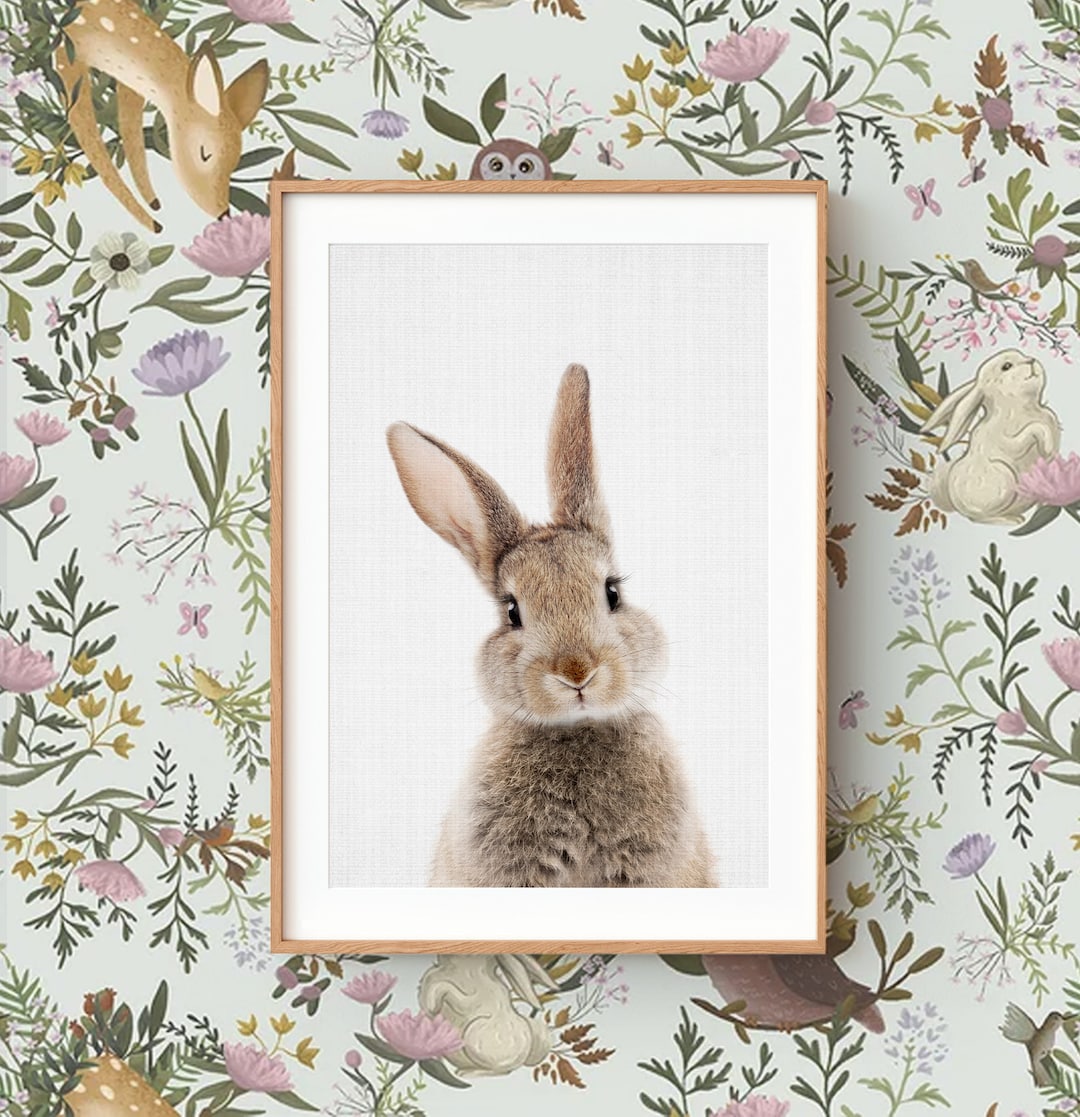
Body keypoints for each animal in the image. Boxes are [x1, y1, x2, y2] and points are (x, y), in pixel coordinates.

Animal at [920, 348, 1061, 525]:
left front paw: (1051, 455)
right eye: (1006, 366)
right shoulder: (1005, 439)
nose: (1031, 360)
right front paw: (1046, 445)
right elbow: (1030, 432)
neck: (1020, 406)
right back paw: (1011, 520)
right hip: (1004, 479)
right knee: (978, 517)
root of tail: (954, 499)